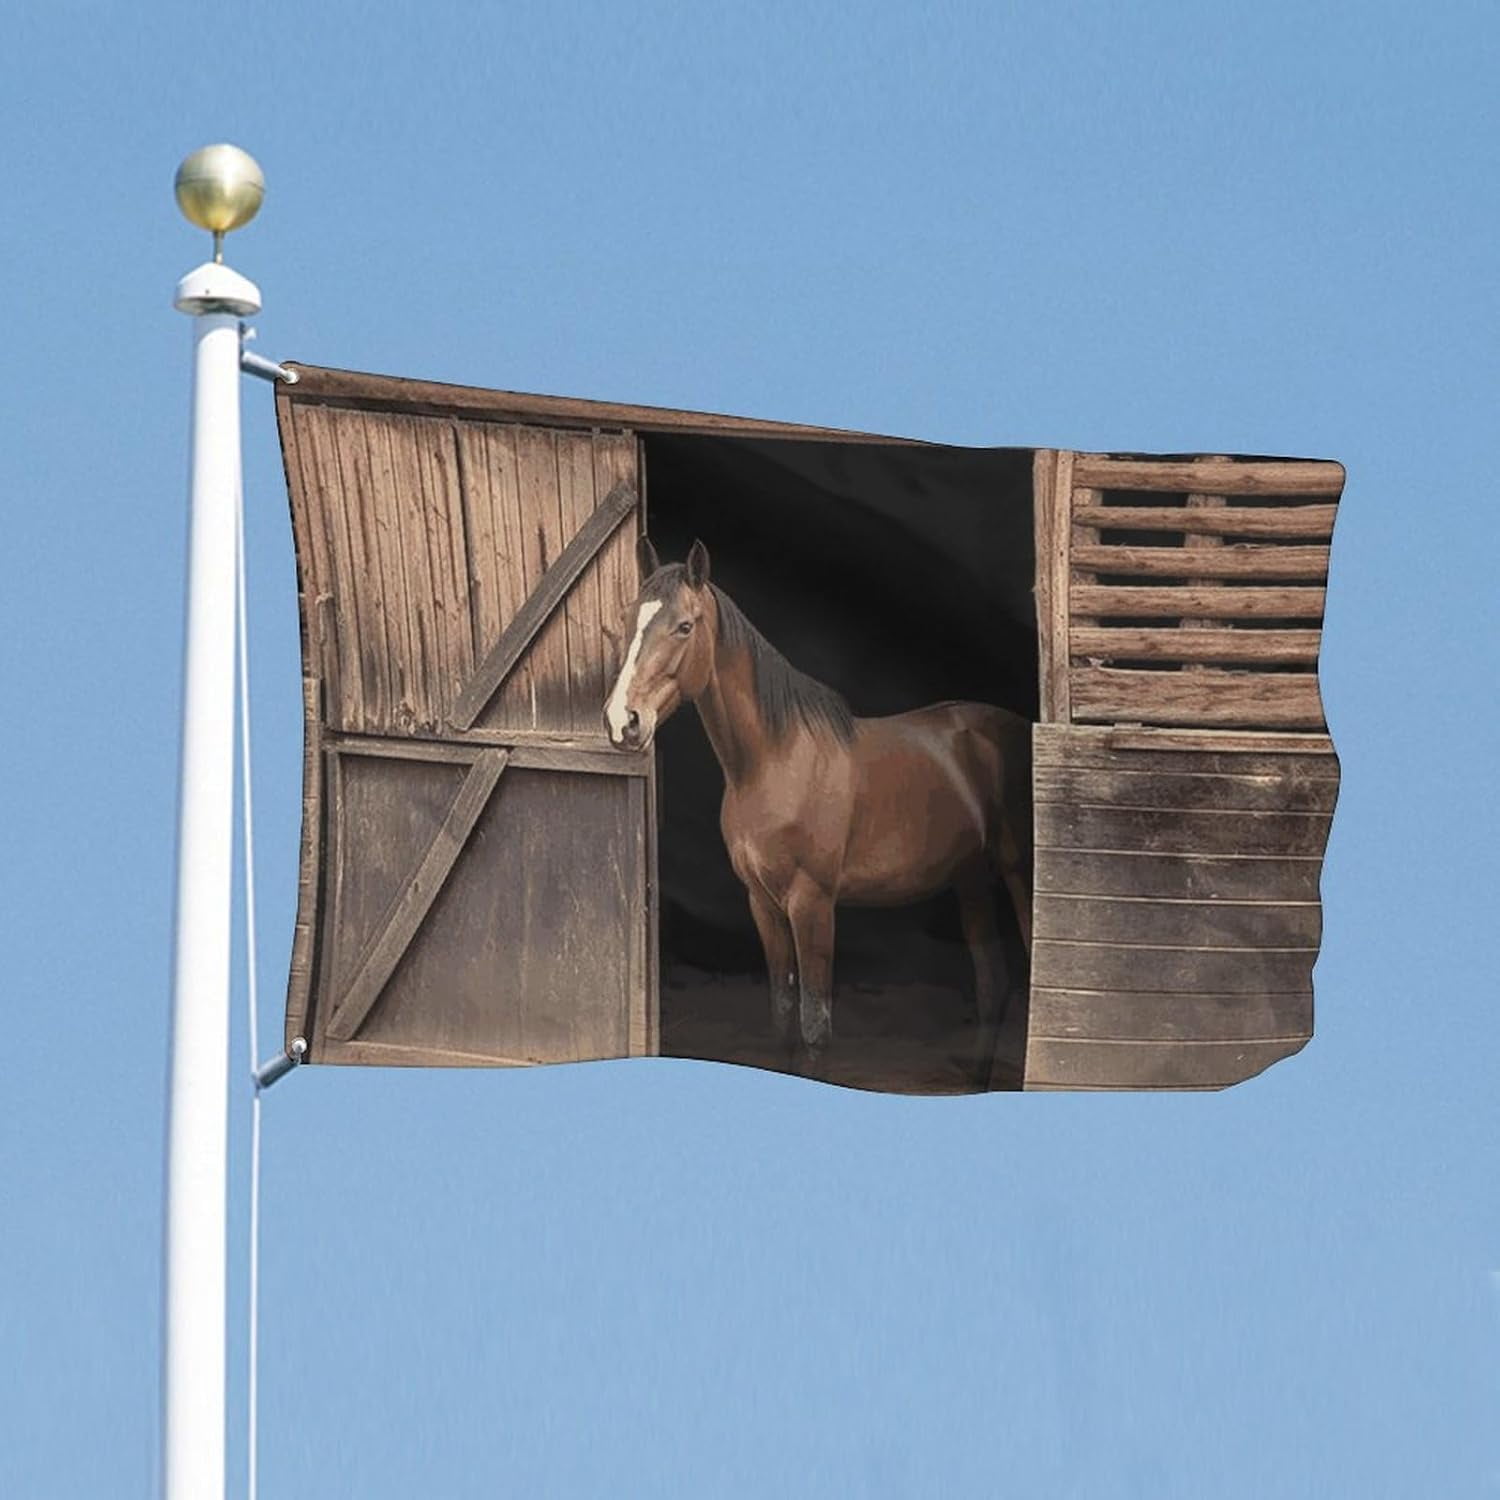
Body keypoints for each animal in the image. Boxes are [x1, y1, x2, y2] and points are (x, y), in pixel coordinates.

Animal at [604, 537, 1032, 1082]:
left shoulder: (812, 903)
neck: (776, 760)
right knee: (992, 981)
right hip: (972, 879)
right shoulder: (762, 904)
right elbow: (783, 1014)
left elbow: (814, 1024)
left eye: (684, 626)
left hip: (1019, 876)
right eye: (630, 616)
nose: (623, 721)